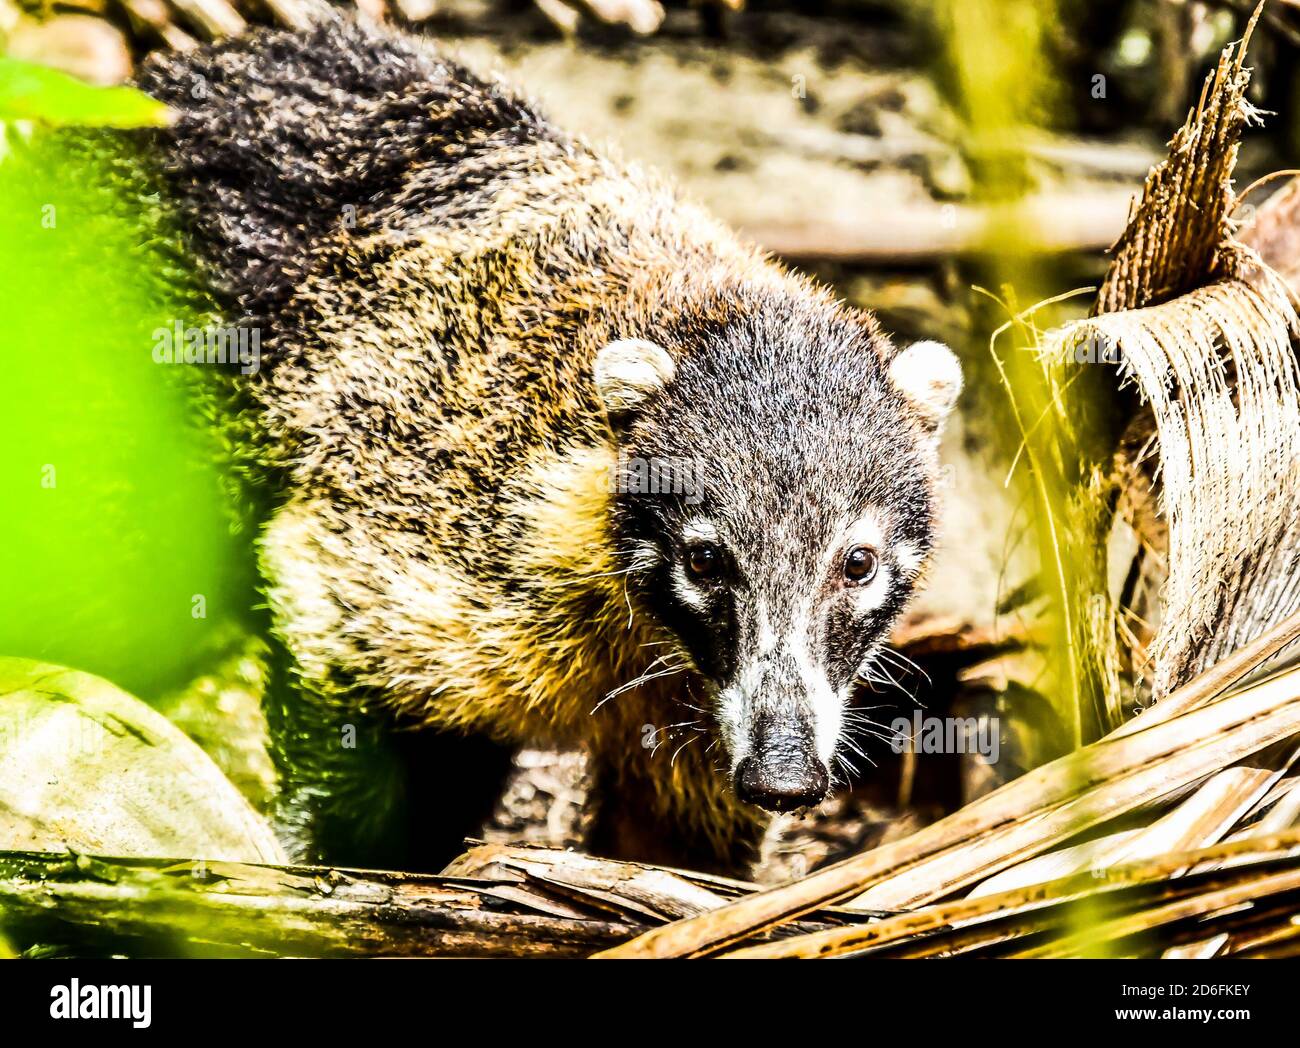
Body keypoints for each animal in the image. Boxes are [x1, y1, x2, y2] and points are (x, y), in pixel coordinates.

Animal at [131, 17, 961, 872]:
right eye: (704, 559)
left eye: (857, 564)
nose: (785, 774)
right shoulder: (428, 500)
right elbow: (334, 628)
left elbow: (676, 835)